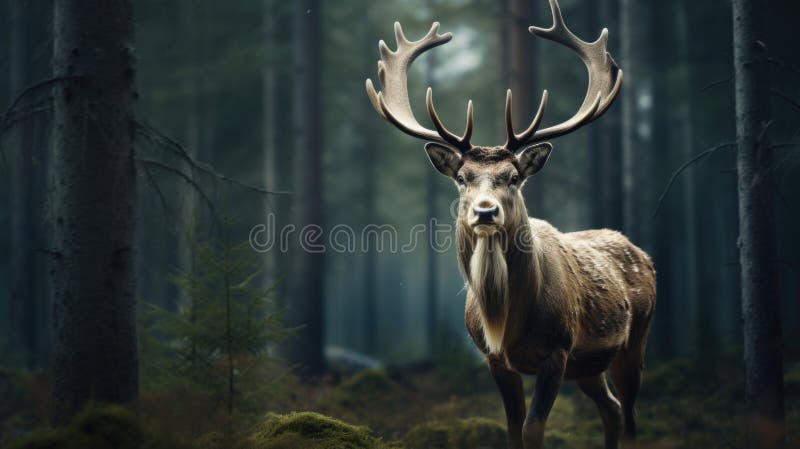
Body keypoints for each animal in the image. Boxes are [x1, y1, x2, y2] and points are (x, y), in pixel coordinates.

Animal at [365, 1, 655, 448]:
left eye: (513, 177)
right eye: (462, 177)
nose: (485, 212)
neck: (506, 320)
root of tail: (644, 256)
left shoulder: (557, 350)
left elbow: (534, 428)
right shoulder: (495, 359)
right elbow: (514, 427)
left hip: (634, 340)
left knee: (630, 418)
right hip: (589, 366)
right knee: (611, 409)